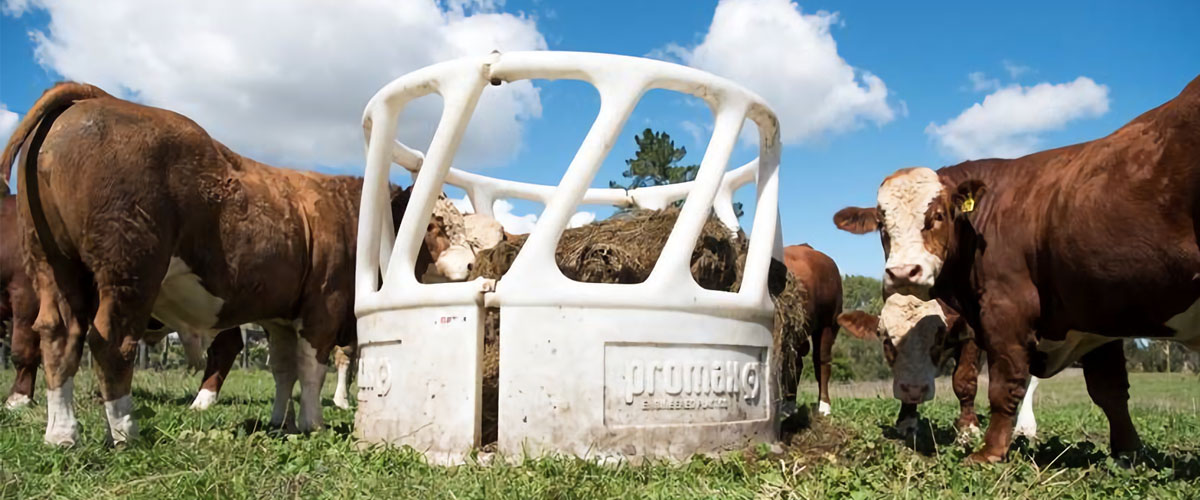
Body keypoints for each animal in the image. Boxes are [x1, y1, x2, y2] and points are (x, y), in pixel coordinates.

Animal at [0, 82, 446, 446]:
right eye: (436, 224)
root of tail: (97, 97)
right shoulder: (323, 306)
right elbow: (310, 369)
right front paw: (312, 423)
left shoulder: (281, 318)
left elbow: (283, 369)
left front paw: (280, 421)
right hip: (129, 271)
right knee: (111, 341)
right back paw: (126, 432)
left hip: (52, 266)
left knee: (59, 335)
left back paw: (62, 434)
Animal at [838, 294, 1040, 440]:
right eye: (887, 341)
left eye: (938, 340)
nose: (915, 389)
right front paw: (907, 422)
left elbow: (964, 380)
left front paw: (968, 427)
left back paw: (1025, 426)